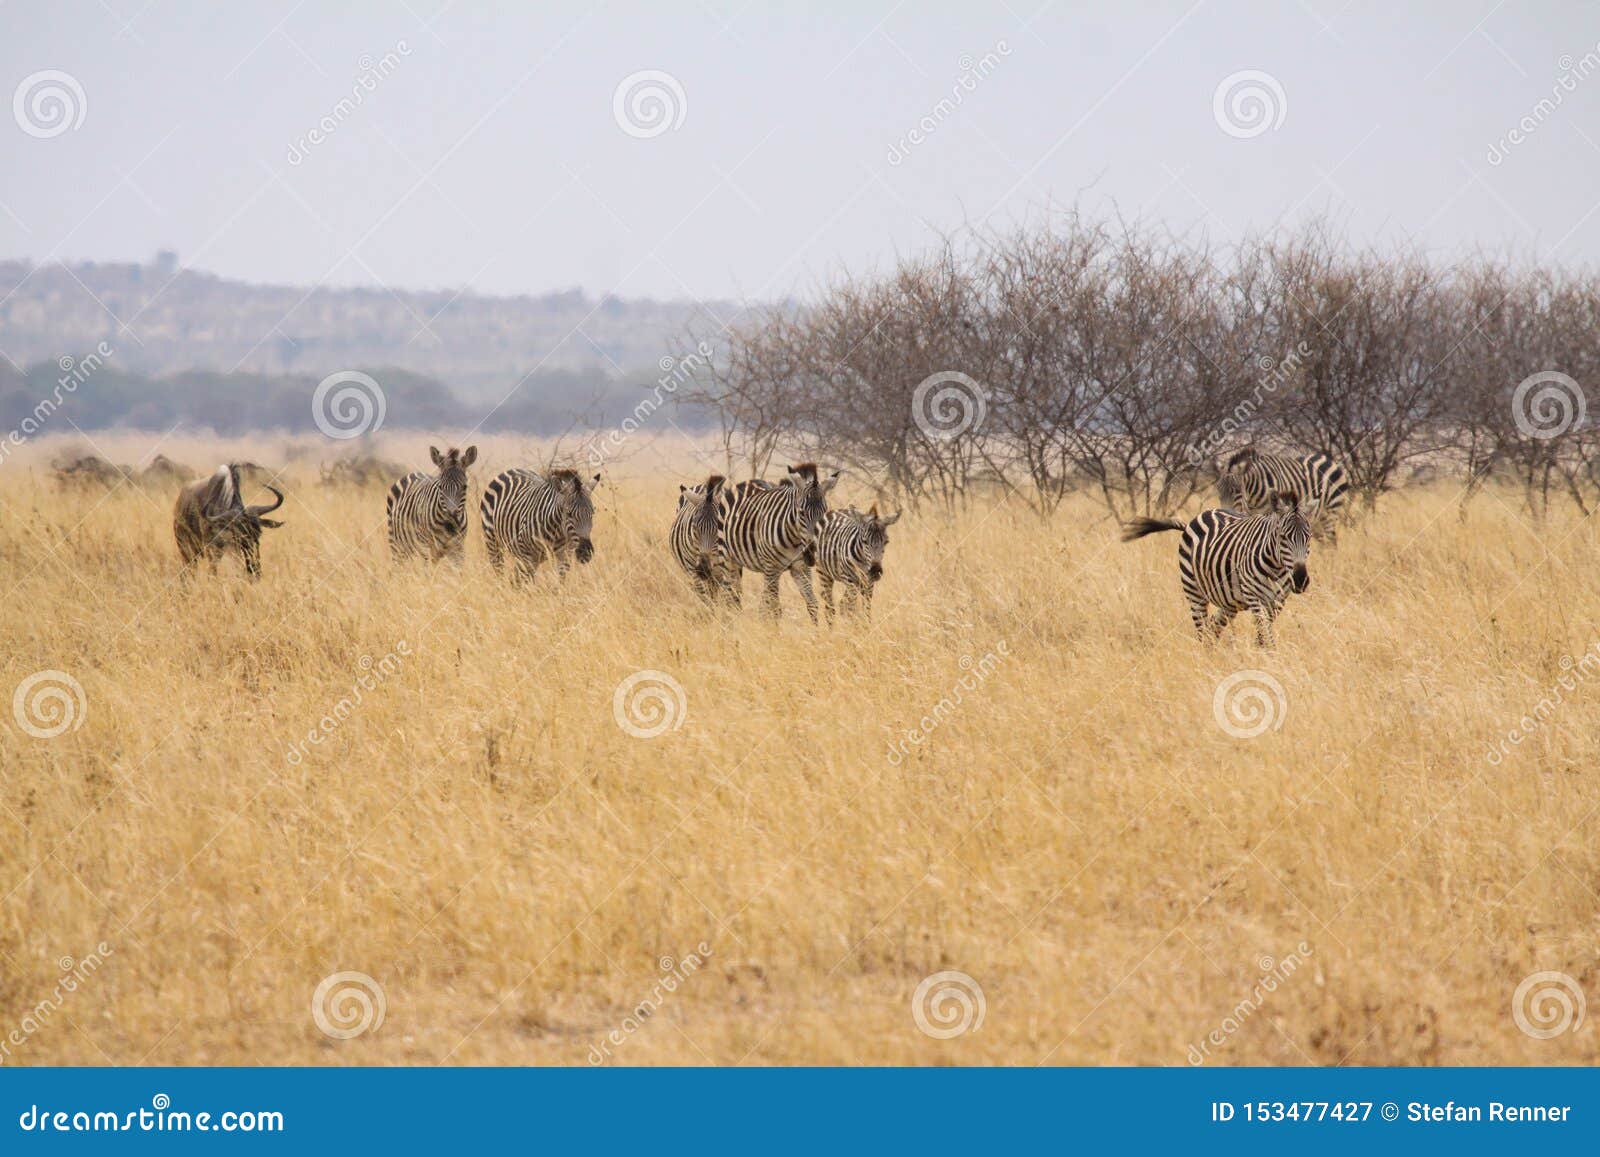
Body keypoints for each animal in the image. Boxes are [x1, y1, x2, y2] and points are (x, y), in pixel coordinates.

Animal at [670, 473, 738, 606]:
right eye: (694, 527)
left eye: (719, 530)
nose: (703, 569)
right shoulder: (692, 567)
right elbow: (704, 596)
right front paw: (708, 610)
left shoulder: (725, 568)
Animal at [716, 462, 839, 621]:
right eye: (801, 512)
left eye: (824, 512)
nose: (811, 553)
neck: (794, 539)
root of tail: (746, 482)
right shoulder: (771, 567)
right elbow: (773, 608)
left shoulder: (800, 567)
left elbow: (812, 603)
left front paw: (816, 627)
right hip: (728, 559)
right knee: (730, 597)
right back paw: (731, 622)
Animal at [1121, 491, 1312, 648]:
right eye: (1283, 537)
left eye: (1308, 537)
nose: (1300, 579)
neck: (1276, 567)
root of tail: (1195, 519)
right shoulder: (1253, 596)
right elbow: (1265, 631)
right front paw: (1269, 658)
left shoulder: (1278, 600)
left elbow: (1263, 633)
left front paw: (1263, 655)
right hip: (1193, 590)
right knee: (1202, 629)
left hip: (1229, 601)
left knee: (1212, 628)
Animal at [1217, 448, 1348, 537]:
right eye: (1219, 492)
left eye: (1237, 491)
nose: (1224, 515)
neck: (1253, 498)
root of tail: (1328, 459)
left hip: (1331, 510)